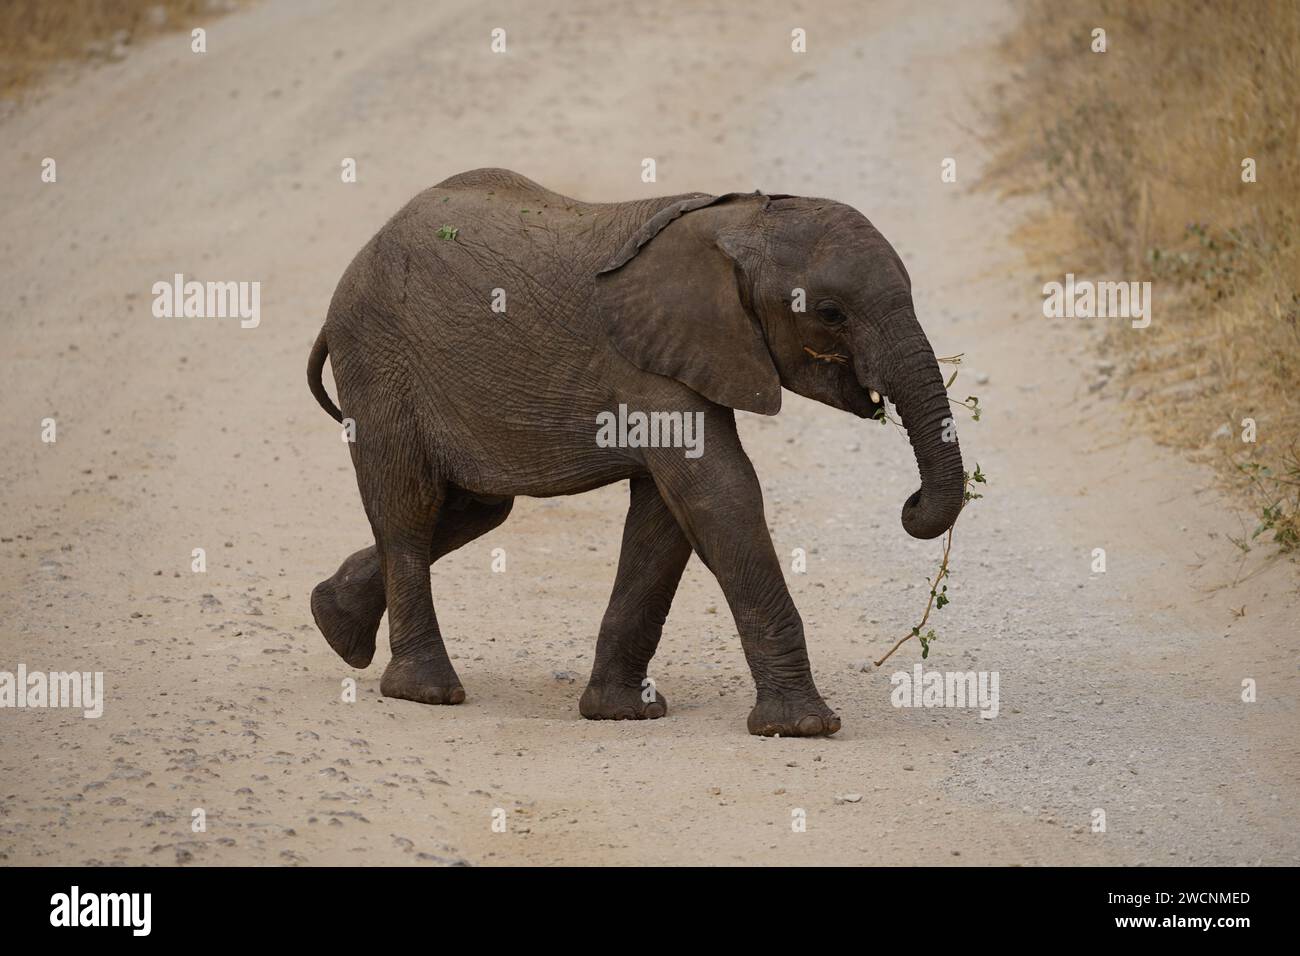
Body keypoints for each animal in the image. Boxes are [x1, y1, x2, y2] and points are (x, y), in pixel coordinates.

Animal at [307, 168, 963, 737]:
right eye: (830, 313)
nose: (909, 505)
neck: (736, 222)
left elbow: (667, 520)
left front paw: (620, 713)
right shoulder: (647, 358)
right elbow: (720, 494)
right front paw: (804, 727)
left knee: (473, 509)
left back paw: (334, 623)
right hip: (377, 356)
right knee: (410, 507)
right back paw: (426, 691)